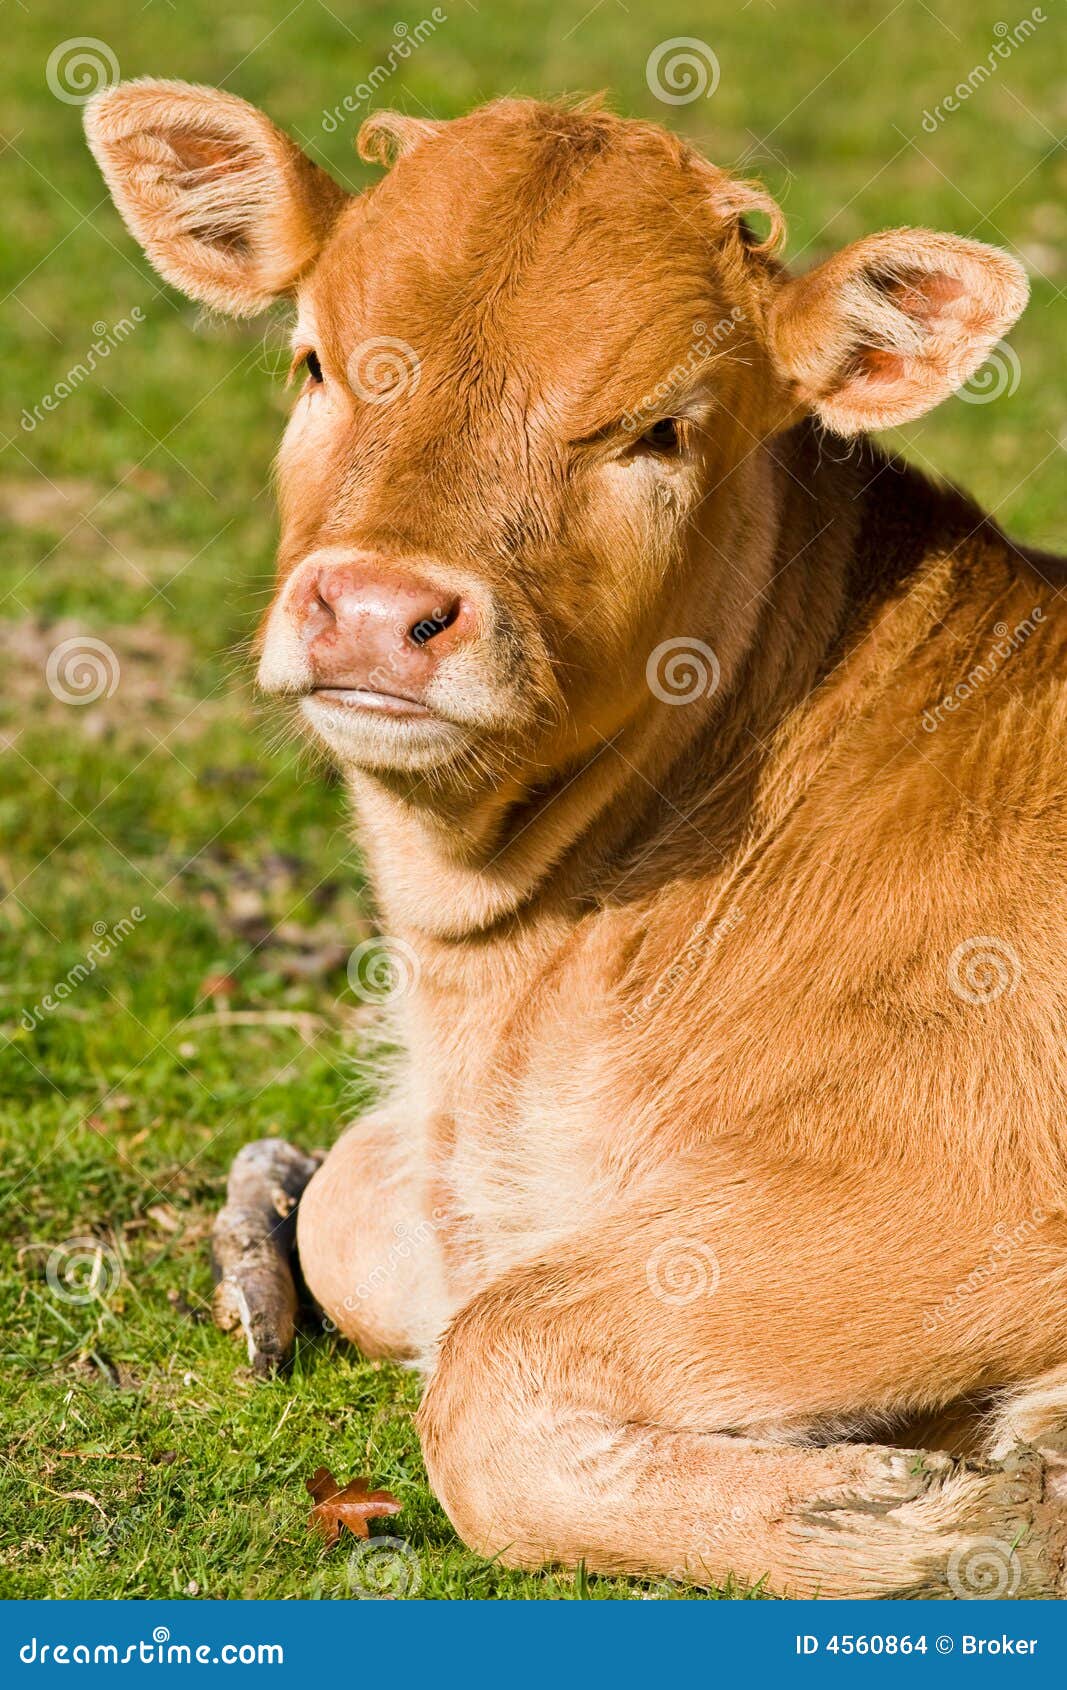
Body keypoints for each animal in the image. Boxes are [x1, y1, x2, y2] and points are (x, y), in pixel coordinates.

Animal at [86, 81, 1067, 1598]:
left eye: (657, 429)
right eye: (314, 363)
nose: (372, 609)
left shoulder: (972, 1198)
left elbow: (488, 1372)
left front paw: (934, 1515)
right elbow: (363, 1211)